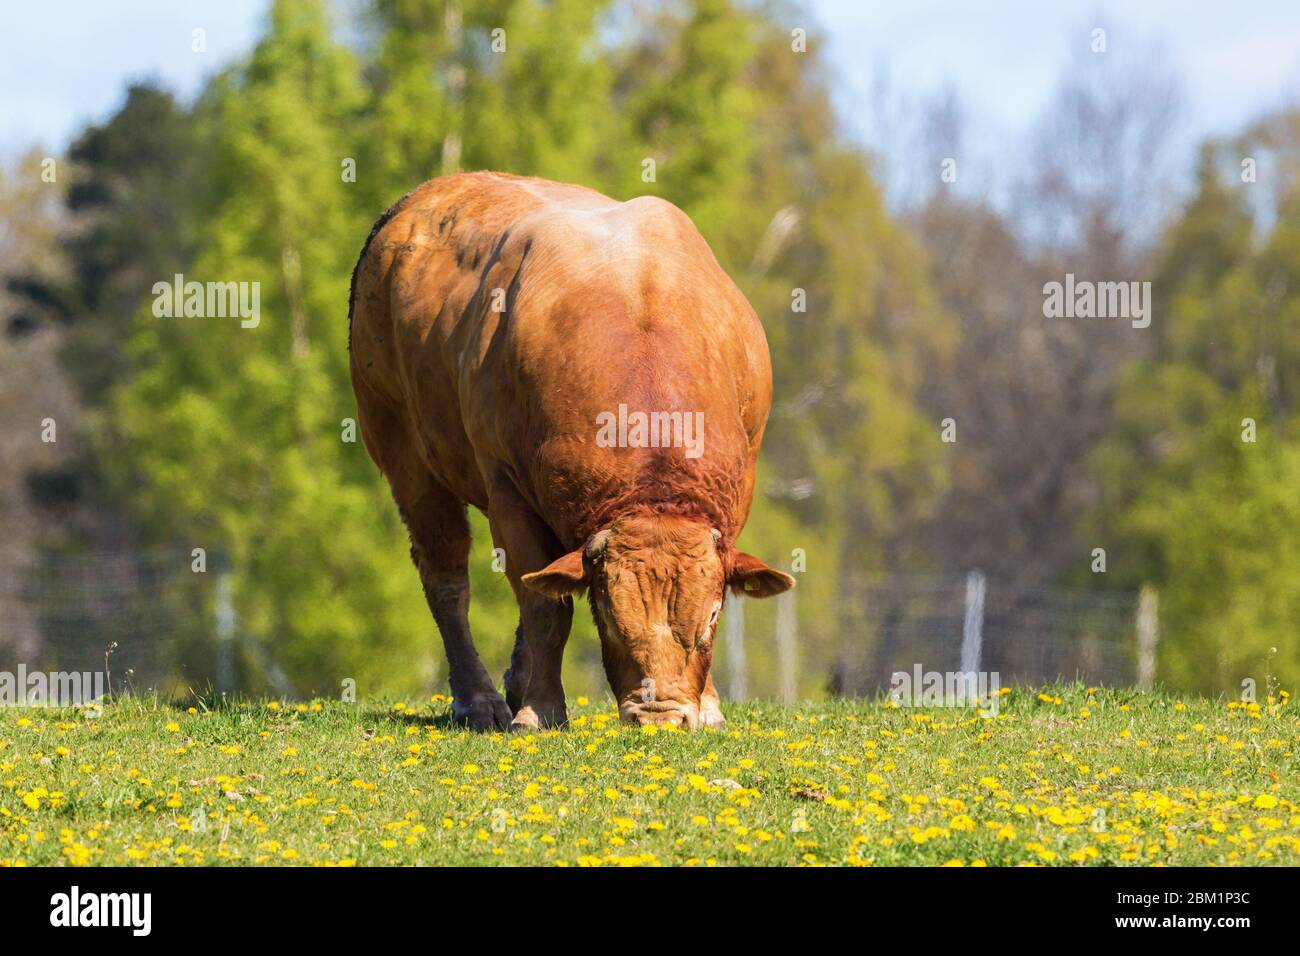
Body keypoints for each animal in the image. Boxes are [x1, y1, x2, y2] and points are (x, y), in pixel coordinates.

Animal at [348, 172, 793, 731]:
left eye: (711, 616)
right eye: (608, 615)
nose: (660, 716)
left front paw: (710, 706)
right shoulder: (508, 489)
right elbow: (545, 608)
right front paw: (539, 710)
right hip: (403, 451)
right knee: (446, 576)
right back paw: (479, 699)